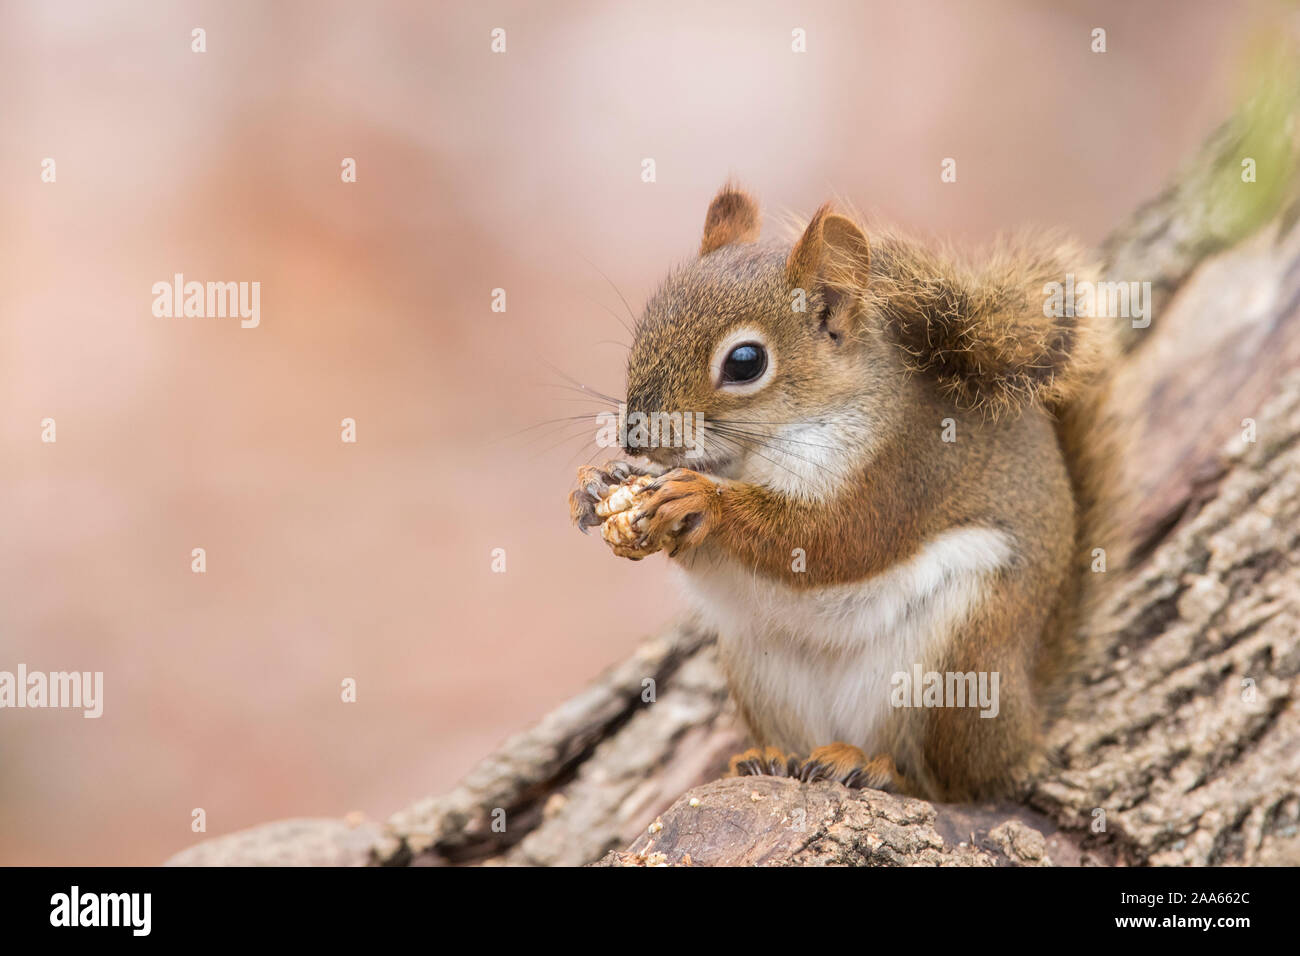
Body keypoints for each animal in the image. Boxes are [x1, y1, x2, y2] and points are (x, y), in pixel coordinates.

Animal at [569, 183, 1117, 801]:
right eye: (645, 326)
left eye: (745, 362)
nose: (636, 435)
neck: (755, 452)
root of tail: (1027, 728)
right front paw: (597, 486)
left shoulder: (901, 470)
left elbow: (834, 542)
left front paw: (702, 500)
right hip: (759, 668)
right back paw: (771, 758)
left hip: (963, 664)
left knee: (952, 783)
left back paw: (877, 768)